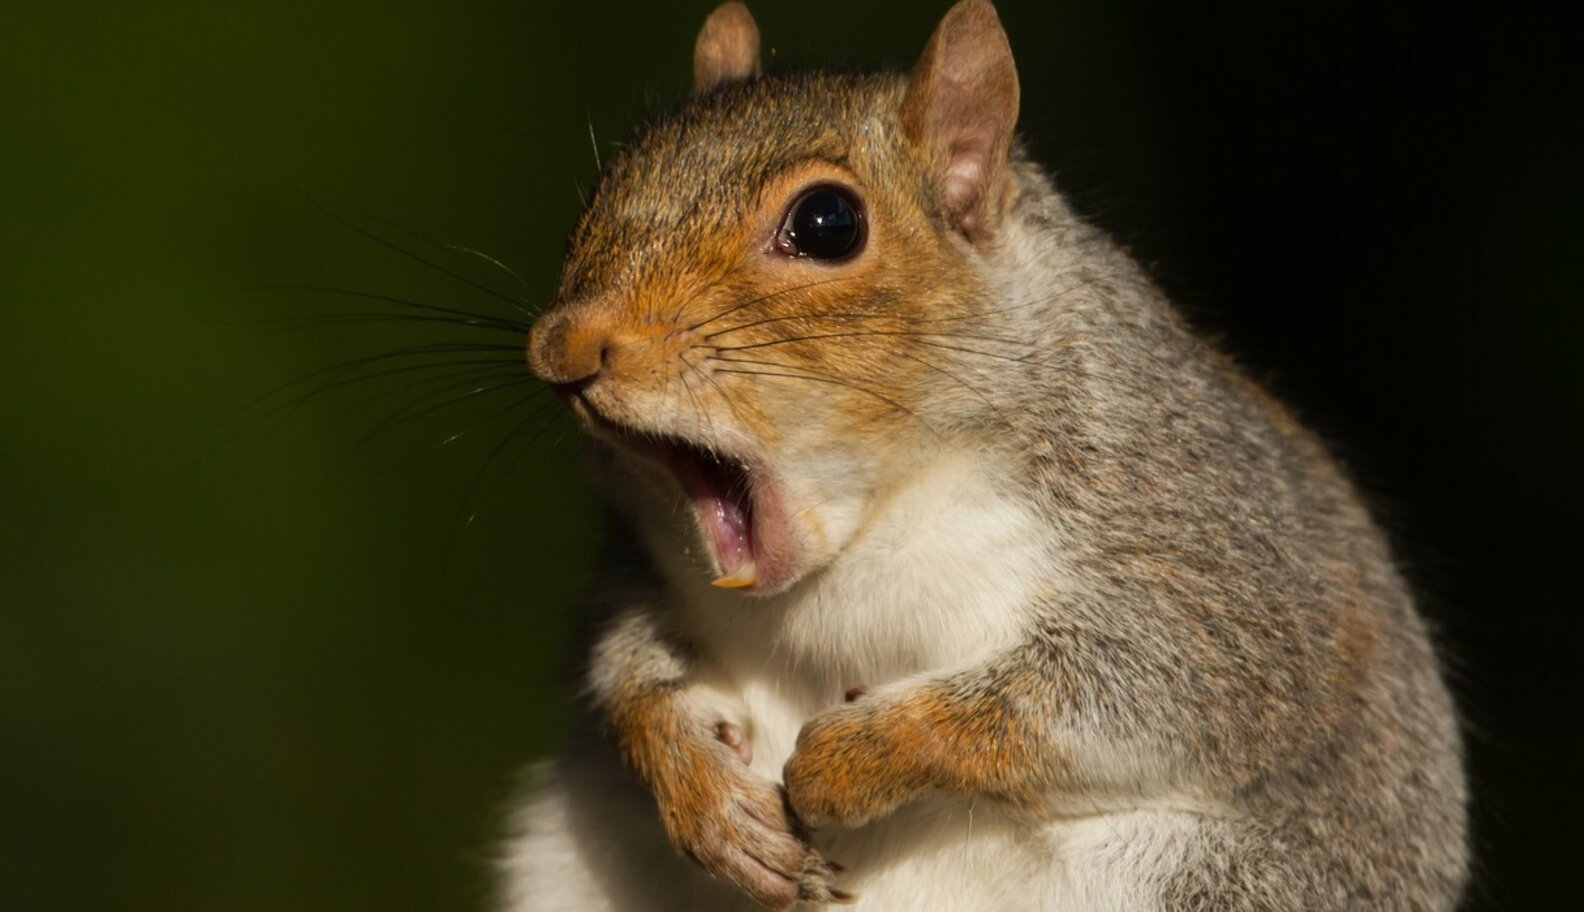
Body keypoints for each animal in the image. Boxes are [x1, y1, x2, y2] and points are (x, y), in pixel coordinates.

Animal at [499, 2, 1469, 910]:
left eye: (828, 222)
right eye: (604, 185)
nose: (563, 346)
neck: (862, 535)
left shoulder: (1204, 558)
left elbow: (1130, 695)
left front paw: (851, 759)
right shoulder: (642, 568)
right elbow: (628, 667)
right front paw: (703, 794)